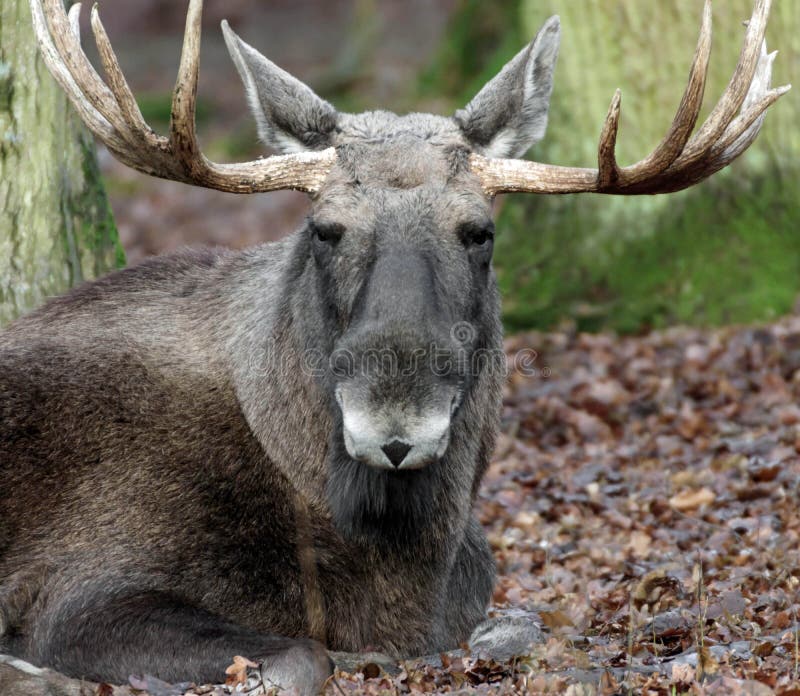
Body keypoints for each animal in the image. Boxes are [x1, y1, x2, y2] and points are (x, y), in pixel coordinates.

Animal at [0, 0, 788, 693]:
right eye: (325, 228)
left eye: (479, 231)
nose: (396, 430)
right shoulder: (86, 584)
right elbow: (304, 655)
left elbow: (516, 627)